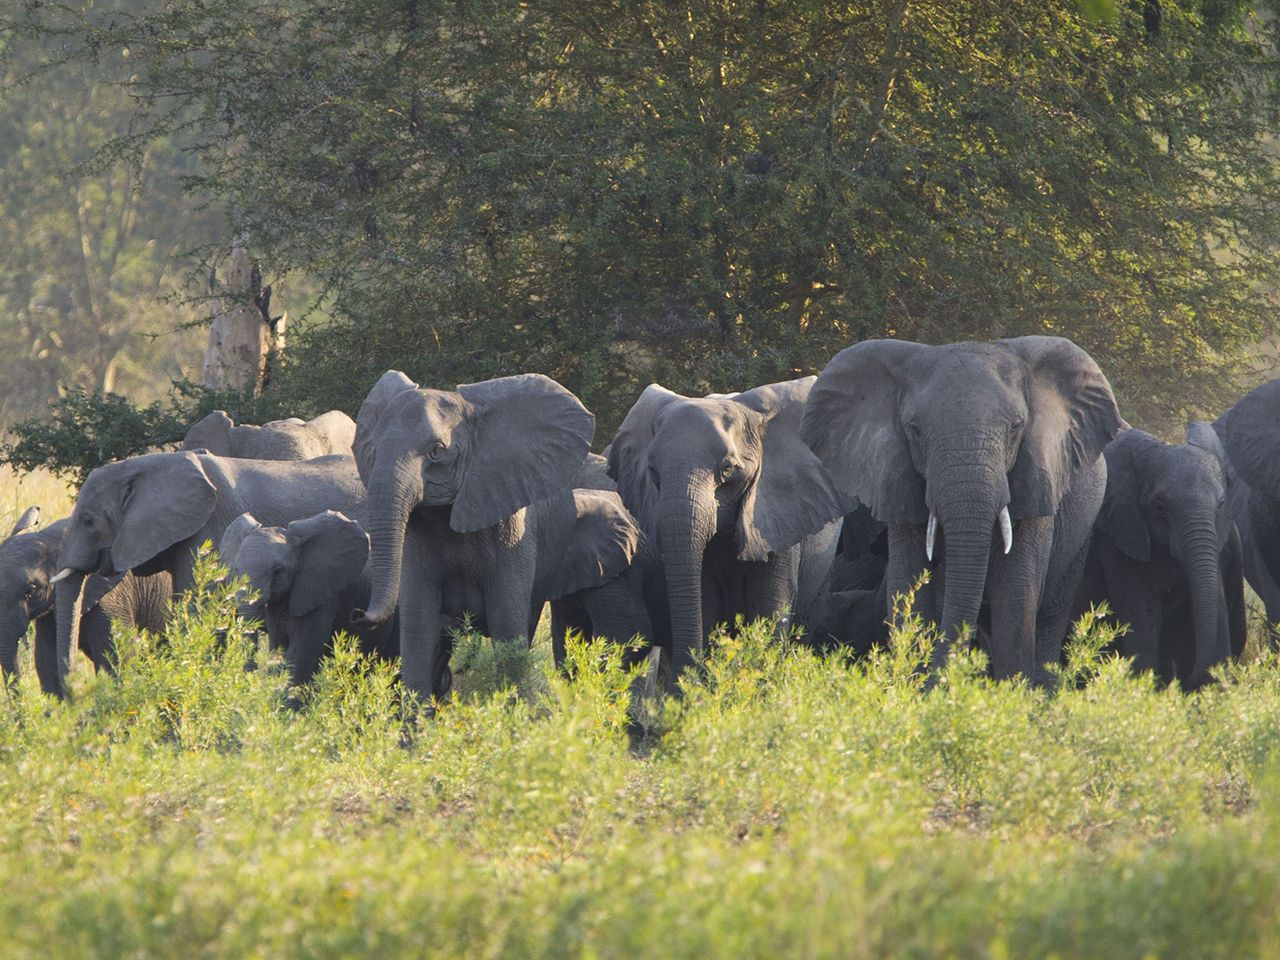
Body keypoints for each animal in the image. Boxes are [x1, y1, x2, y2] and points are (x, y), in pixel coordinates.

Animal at [218, 510, 398, 688]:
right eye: (235, 569)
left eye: (277, 572)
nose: (253, 671)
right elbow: (279, 647)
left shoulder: (321, 593)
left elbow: (300, 653)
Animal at [350, 370, 635, 701]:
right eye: (373, 451)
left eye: (436, 452)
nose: (357, 614)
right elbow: (419, 628)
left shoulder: (514, 532)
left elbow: (507, 624)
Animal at [801, 337, 1125, 683]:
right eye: (914, 429)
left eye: (1016, 428)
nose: (944, 678)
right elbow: (909, 589)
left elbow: (1015, 597)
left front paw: (1010, 692)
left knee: (1049, 618)